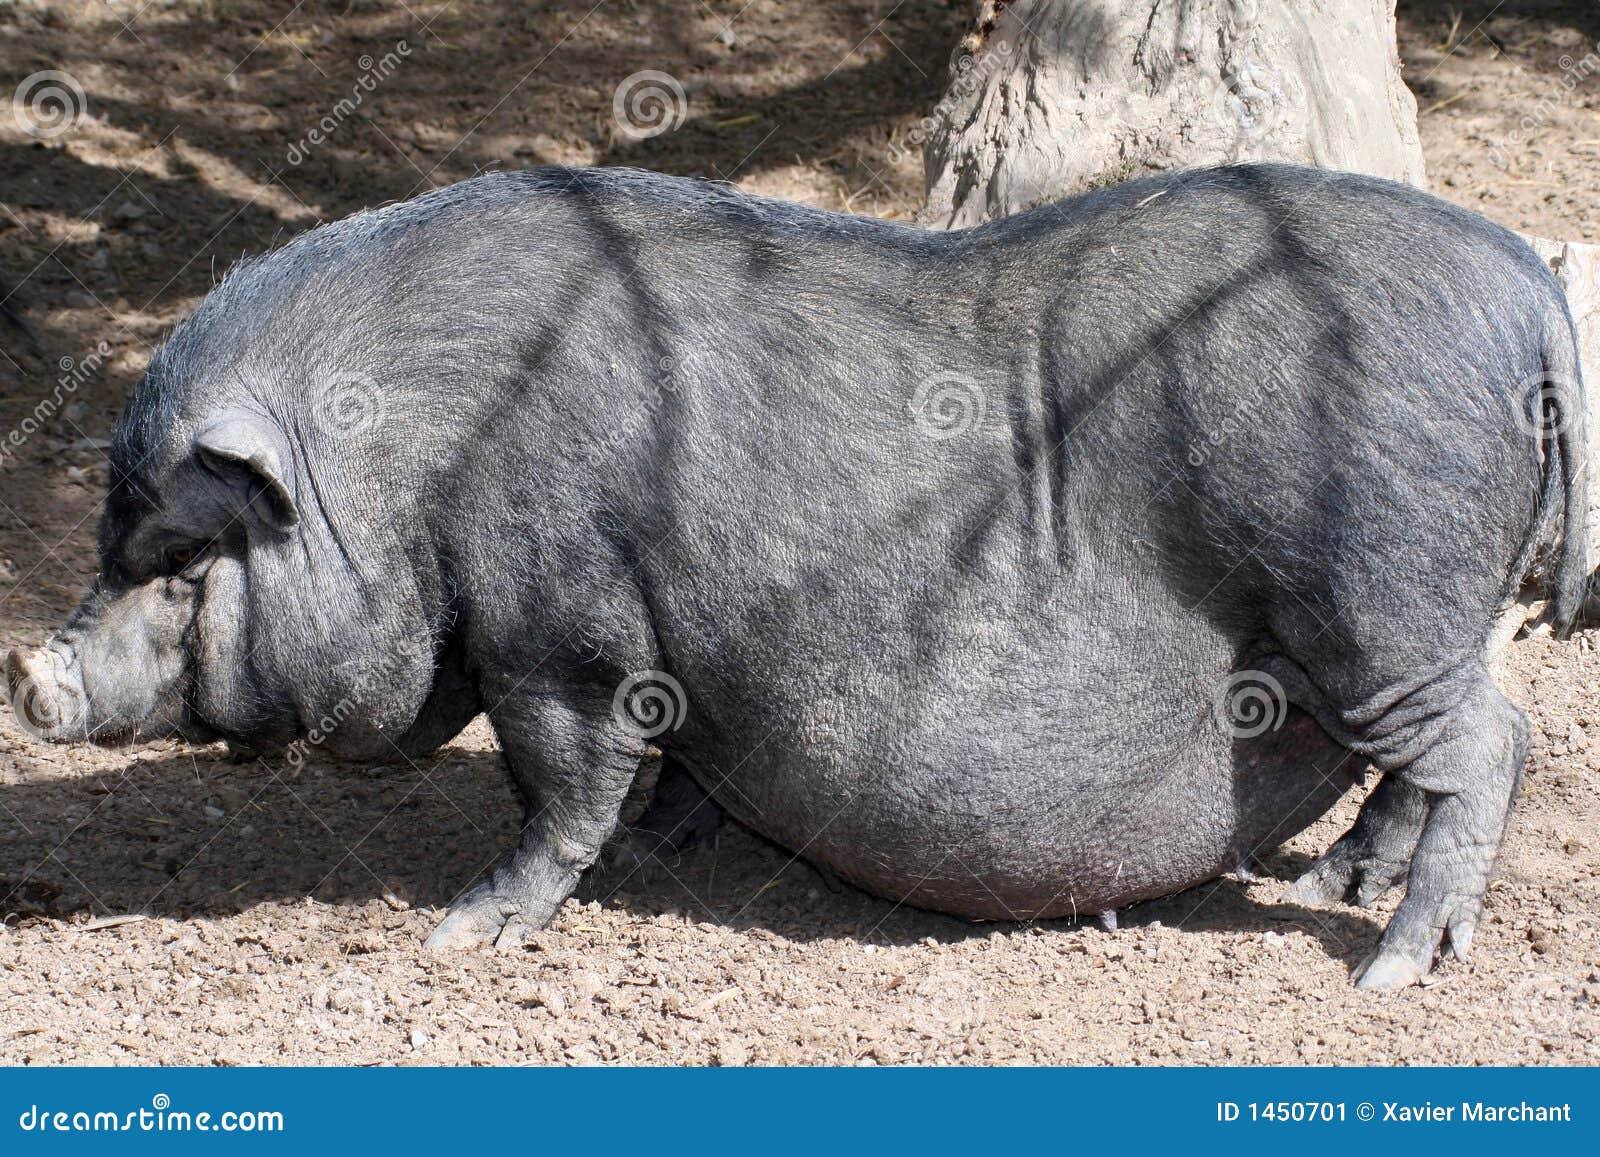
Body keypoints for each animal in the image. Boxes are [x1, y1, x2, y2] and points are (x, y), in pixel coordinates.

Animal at [4, 163, 1588, 988]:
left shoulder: (558, 634)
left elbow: (561, 781)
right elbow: (679, 767)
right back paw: (1337, 874)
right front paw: (662, 850)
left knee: (1495, 739)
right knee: (1428, 755)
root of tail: (1528, 287)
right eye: (120, 543)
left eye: (182, 560)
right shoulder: (675, 659)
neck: (406, 470)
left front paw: (466, 931)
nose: (34, 672)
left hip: (1379, 598)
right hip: (1403, 622)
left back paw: (1390, 963)